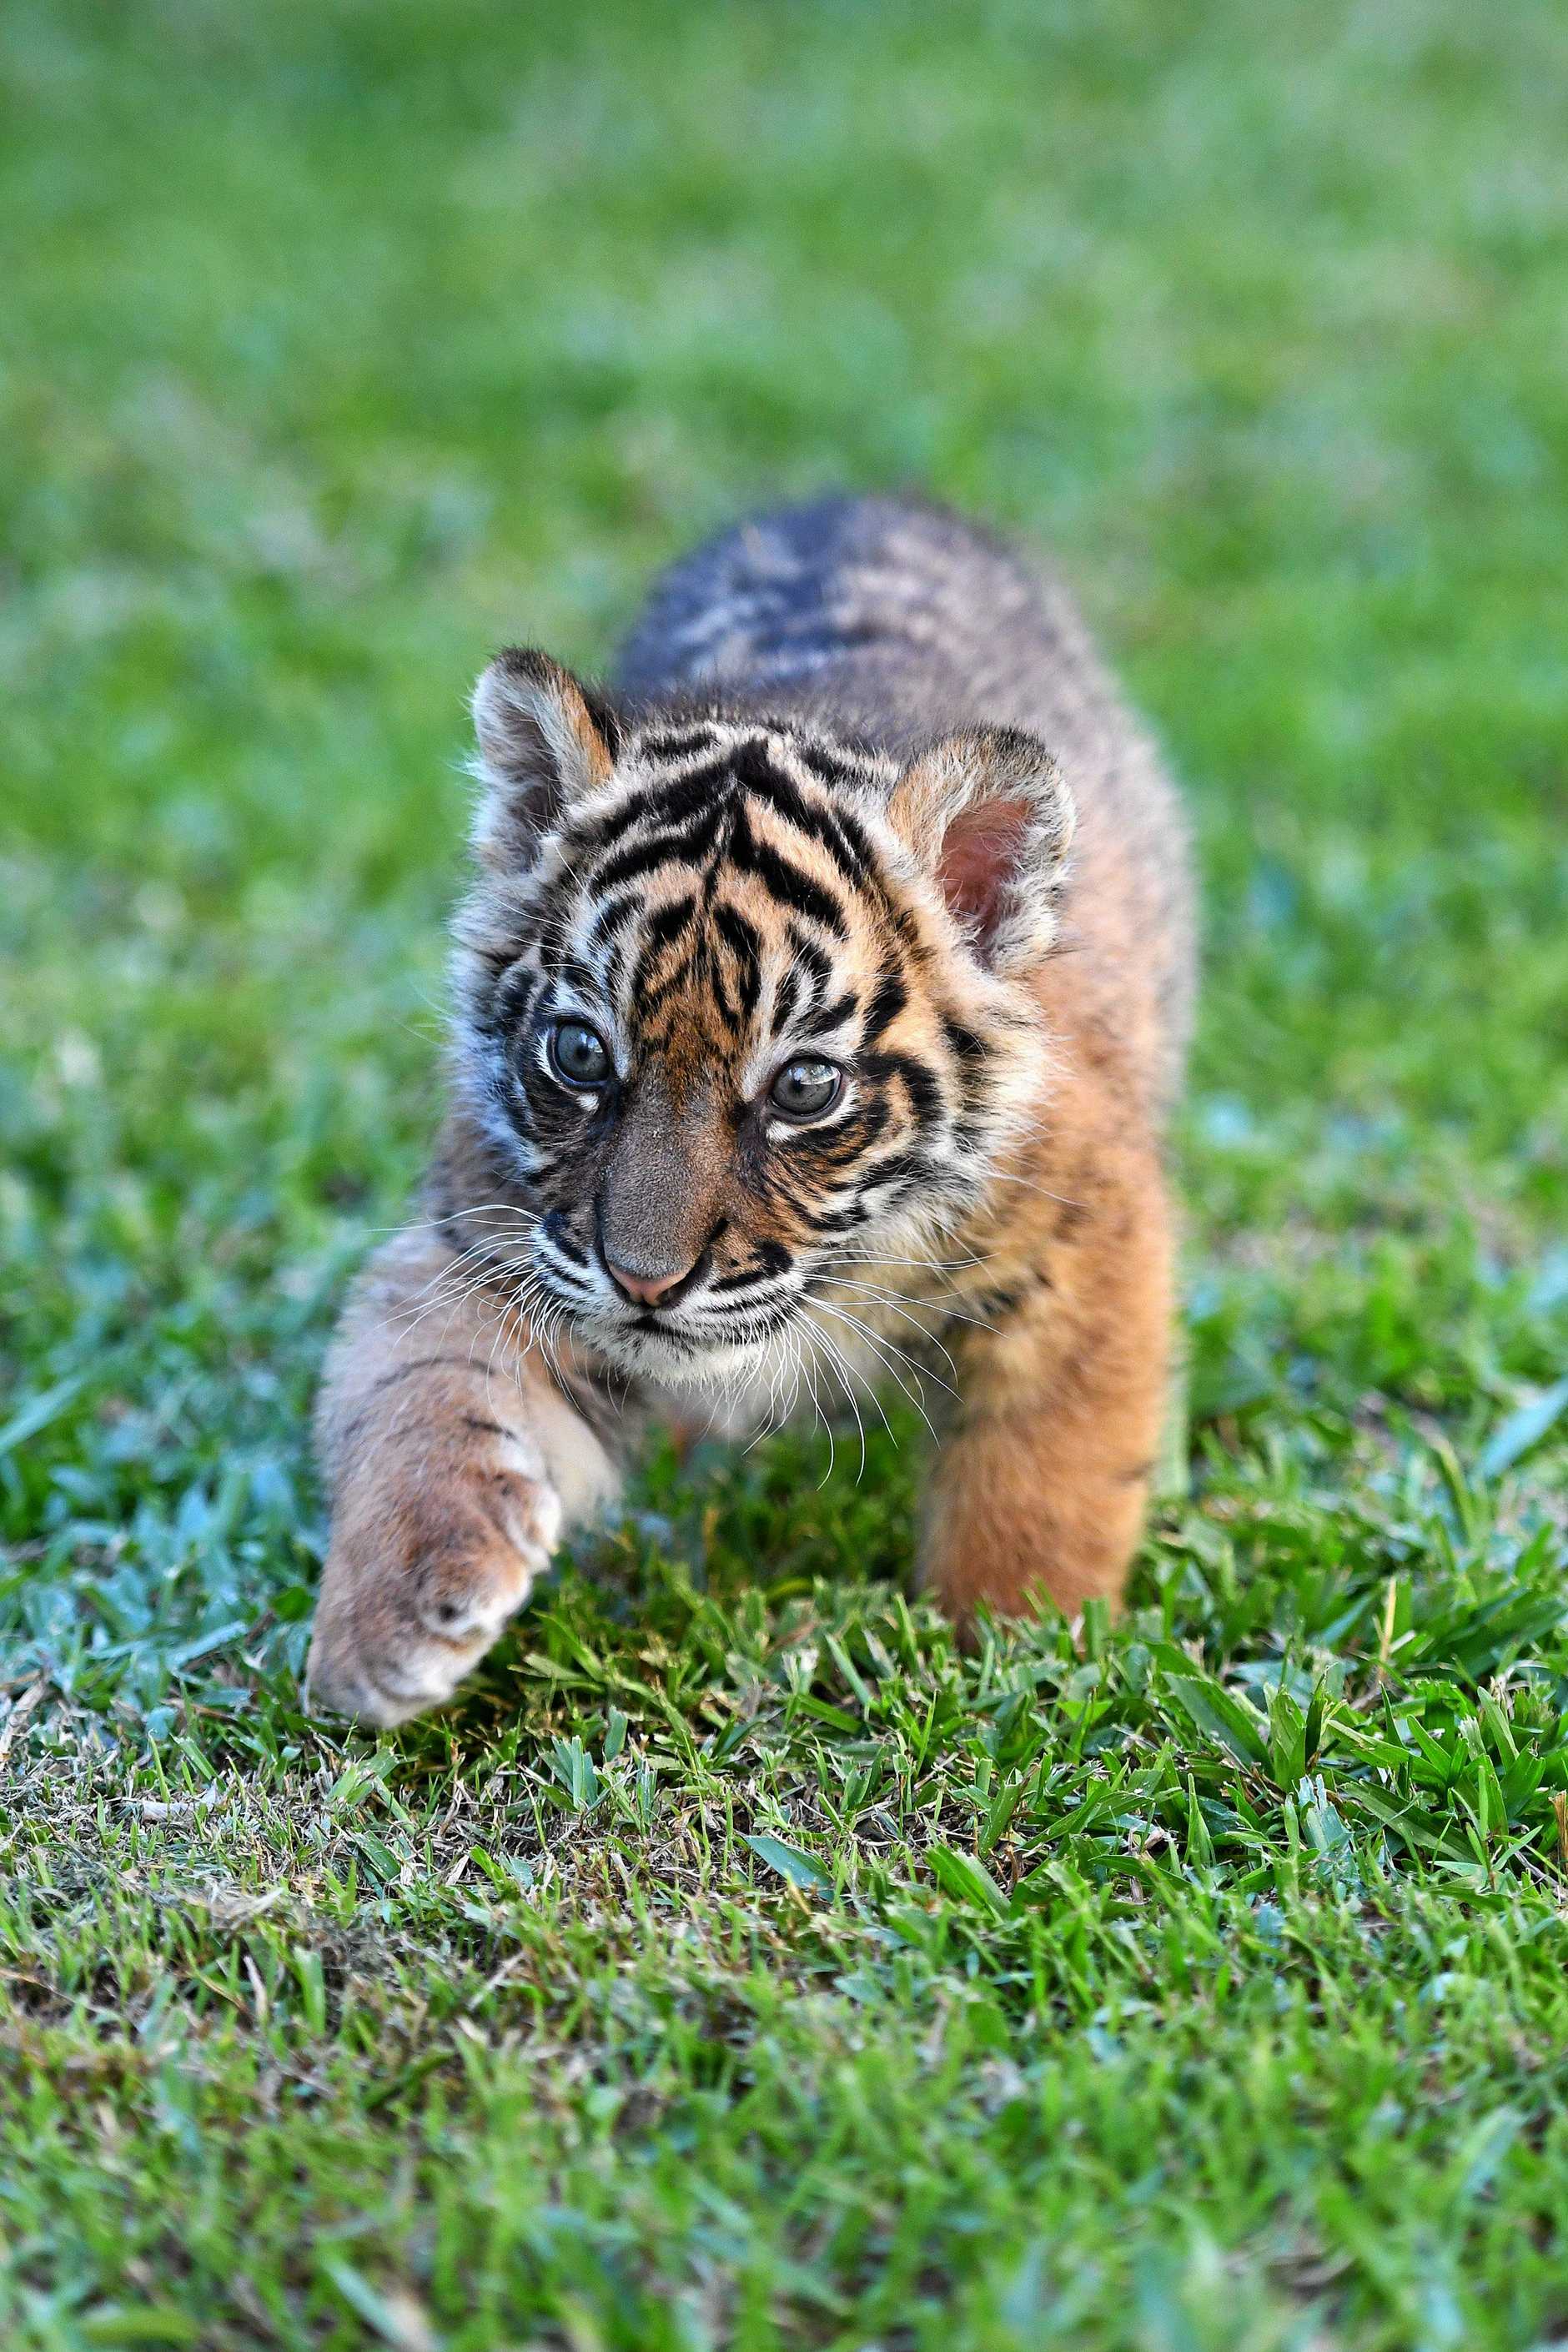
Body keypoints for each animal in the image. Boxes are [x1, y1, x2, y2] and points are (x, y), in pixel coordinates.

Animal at [305, 496, 1196, 1725]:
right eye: (581, 1054)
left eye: (804, 1089)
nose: (644, 1283)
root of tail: (865, 495)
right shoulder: (481, 1236)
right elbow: (416, 1387)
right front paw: (389, 1623)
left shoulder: (1084, 1242)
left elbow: (1046, 1472)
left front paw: (1014, 1656)